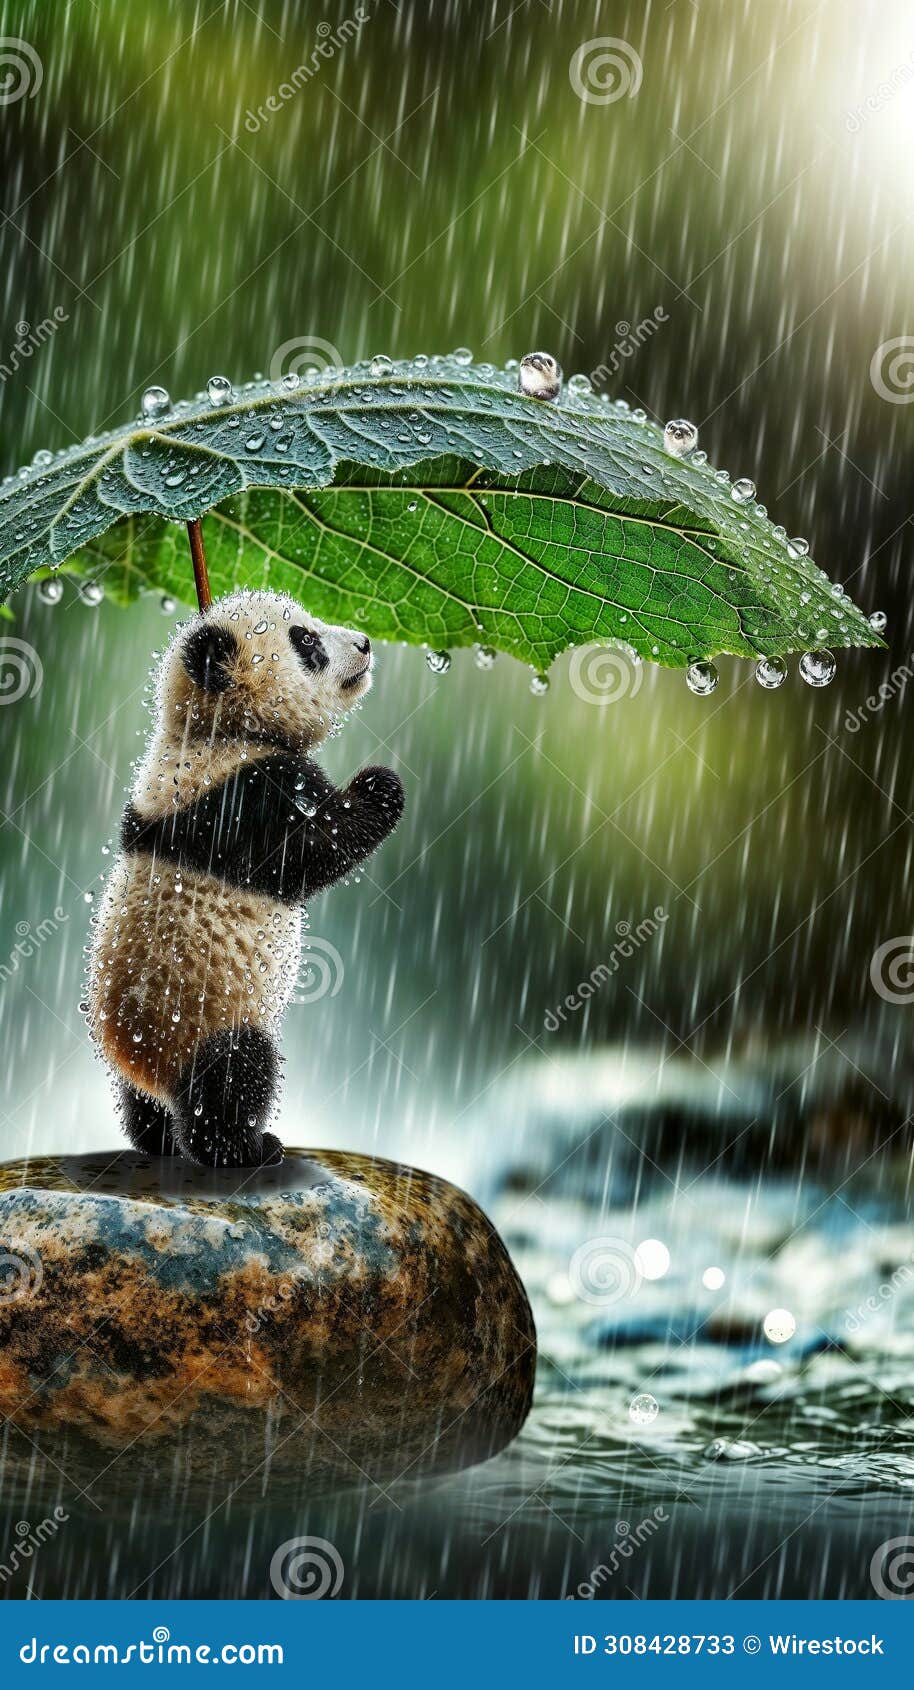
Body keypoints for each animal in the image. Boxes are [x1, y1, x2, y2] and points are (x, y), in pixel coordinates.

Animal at [87, 588, 404, 1169]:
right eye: (306, 642)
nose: (366, 643)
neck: (206, 730)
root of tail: (145, 1064)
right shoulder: (244, 797)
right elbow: (313, 851)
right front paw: (379, 785)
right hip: (199, 1019)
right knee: (232, 1077)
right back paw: (247, 1148)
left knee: (138, 1102)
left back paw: (157, 1141)